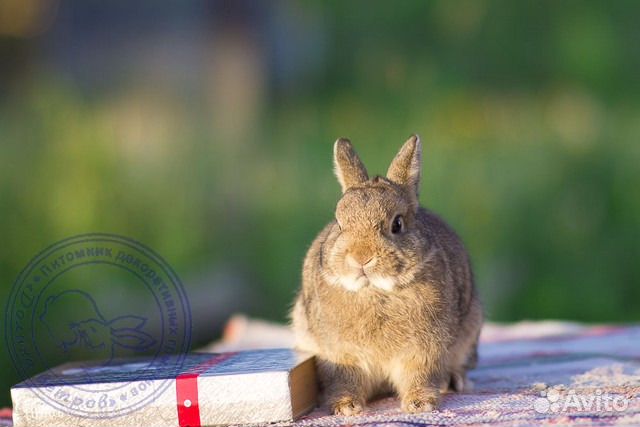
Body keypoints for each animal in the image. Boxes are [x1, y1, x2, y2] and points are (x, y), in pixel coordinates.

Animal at [291, 135, 483, 415]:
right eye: (339, 223)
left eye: (397, 224)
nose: (360, 257)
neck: (375, 290)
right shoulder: (341, 355)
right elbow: (345, 379)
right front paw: (346, 407)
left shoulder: (422, 351)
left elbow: (419, 375)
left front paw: (420, 404)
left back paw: (455, 381)